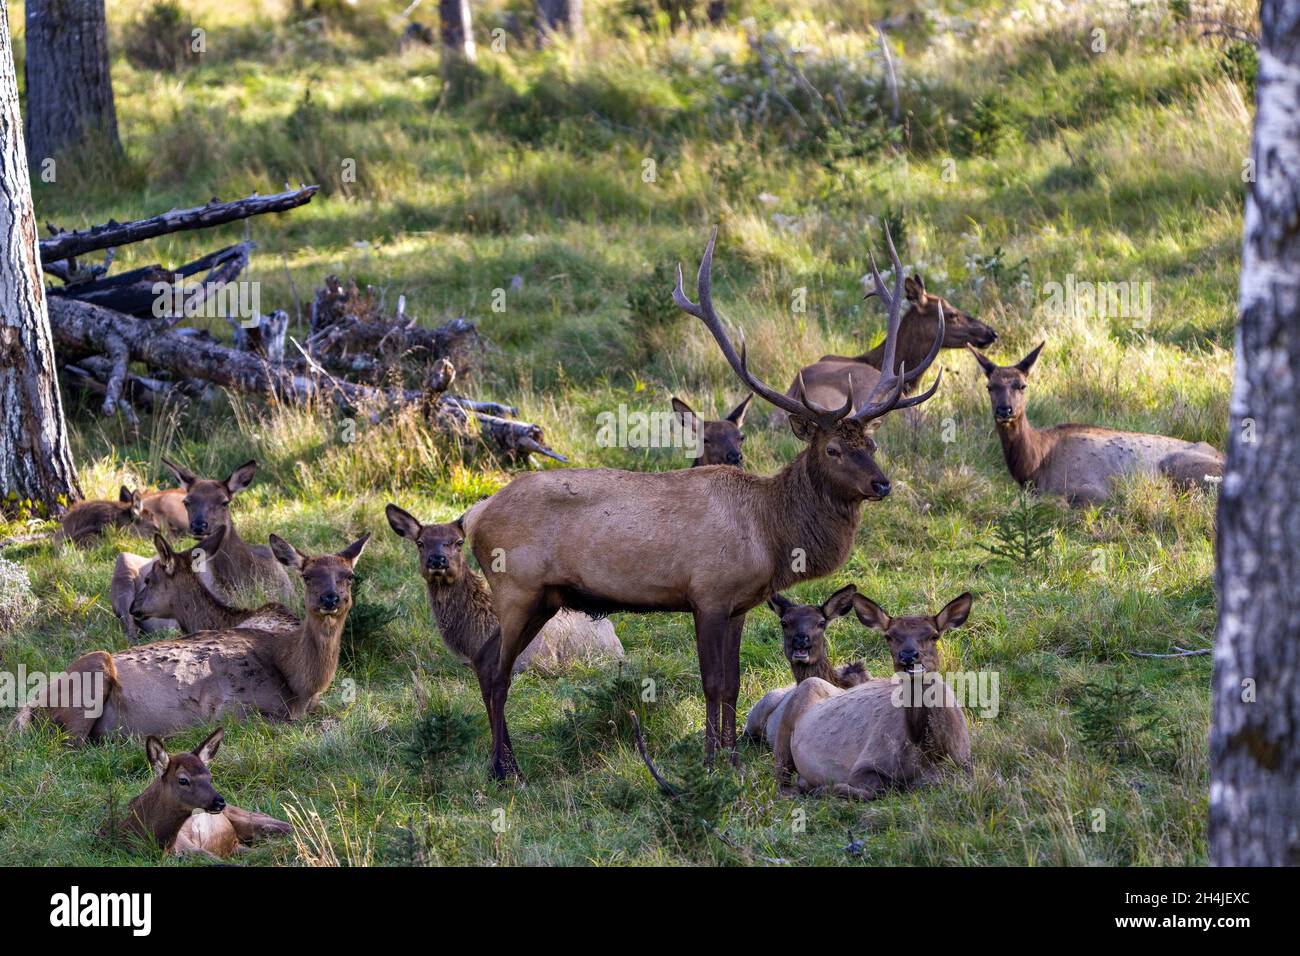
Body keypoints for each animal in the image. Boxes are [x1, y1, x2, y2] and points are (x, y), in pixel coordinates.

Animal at [385, 505, 624, 675]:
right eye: (420, 543)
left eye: (459, 542)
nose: (437, 560)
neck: (475, 641)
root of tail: (612, 628)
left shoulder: (538, 663)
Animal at [773, 592, 973, 800]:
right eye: (889, 636)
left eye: (934, 635)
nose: (909, 656)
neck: (932, 752)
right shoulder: (867, 763)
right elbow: (878, 788)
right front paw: (824, 788)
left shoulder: (966, 761)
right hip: (784, 734)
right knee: (779, 781)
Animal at [969, 342, 1226, 505]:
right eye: (990, 386)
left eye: (1022, 385)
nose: (1004, 410)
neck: (1032, 469)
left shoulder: (1093, 489)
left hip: (1180, 465)